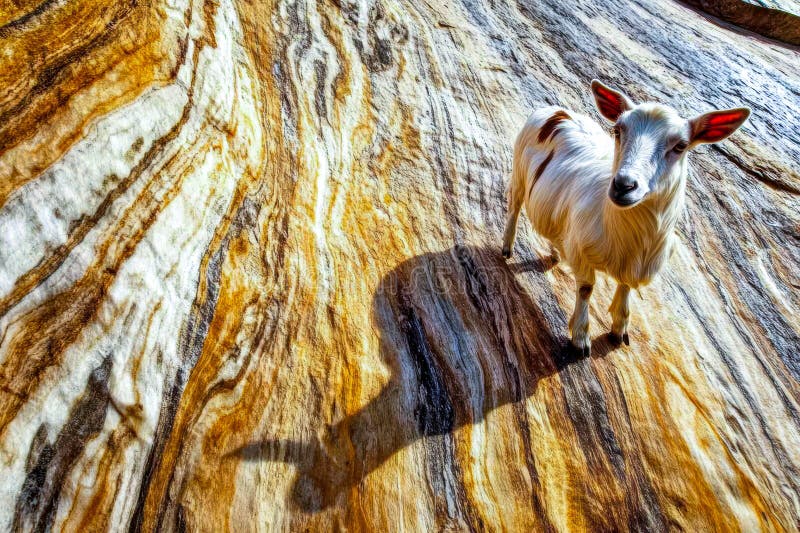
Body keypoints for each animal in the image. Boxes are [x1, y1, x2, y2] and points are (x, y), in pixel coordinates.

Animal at [502, 80, 749, 355]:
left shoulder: (633, 263)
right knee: (514, 206)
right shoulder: (582, 251)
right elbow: (586, 289)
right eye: (618, 130)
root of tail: (557, 111)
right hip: (519, 171)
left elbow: (626, 288)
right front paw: (580, 338)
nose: (623, 185)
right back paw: (507, 248)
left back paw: (555, 253)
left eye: (680, 146)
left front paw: (619, 329)